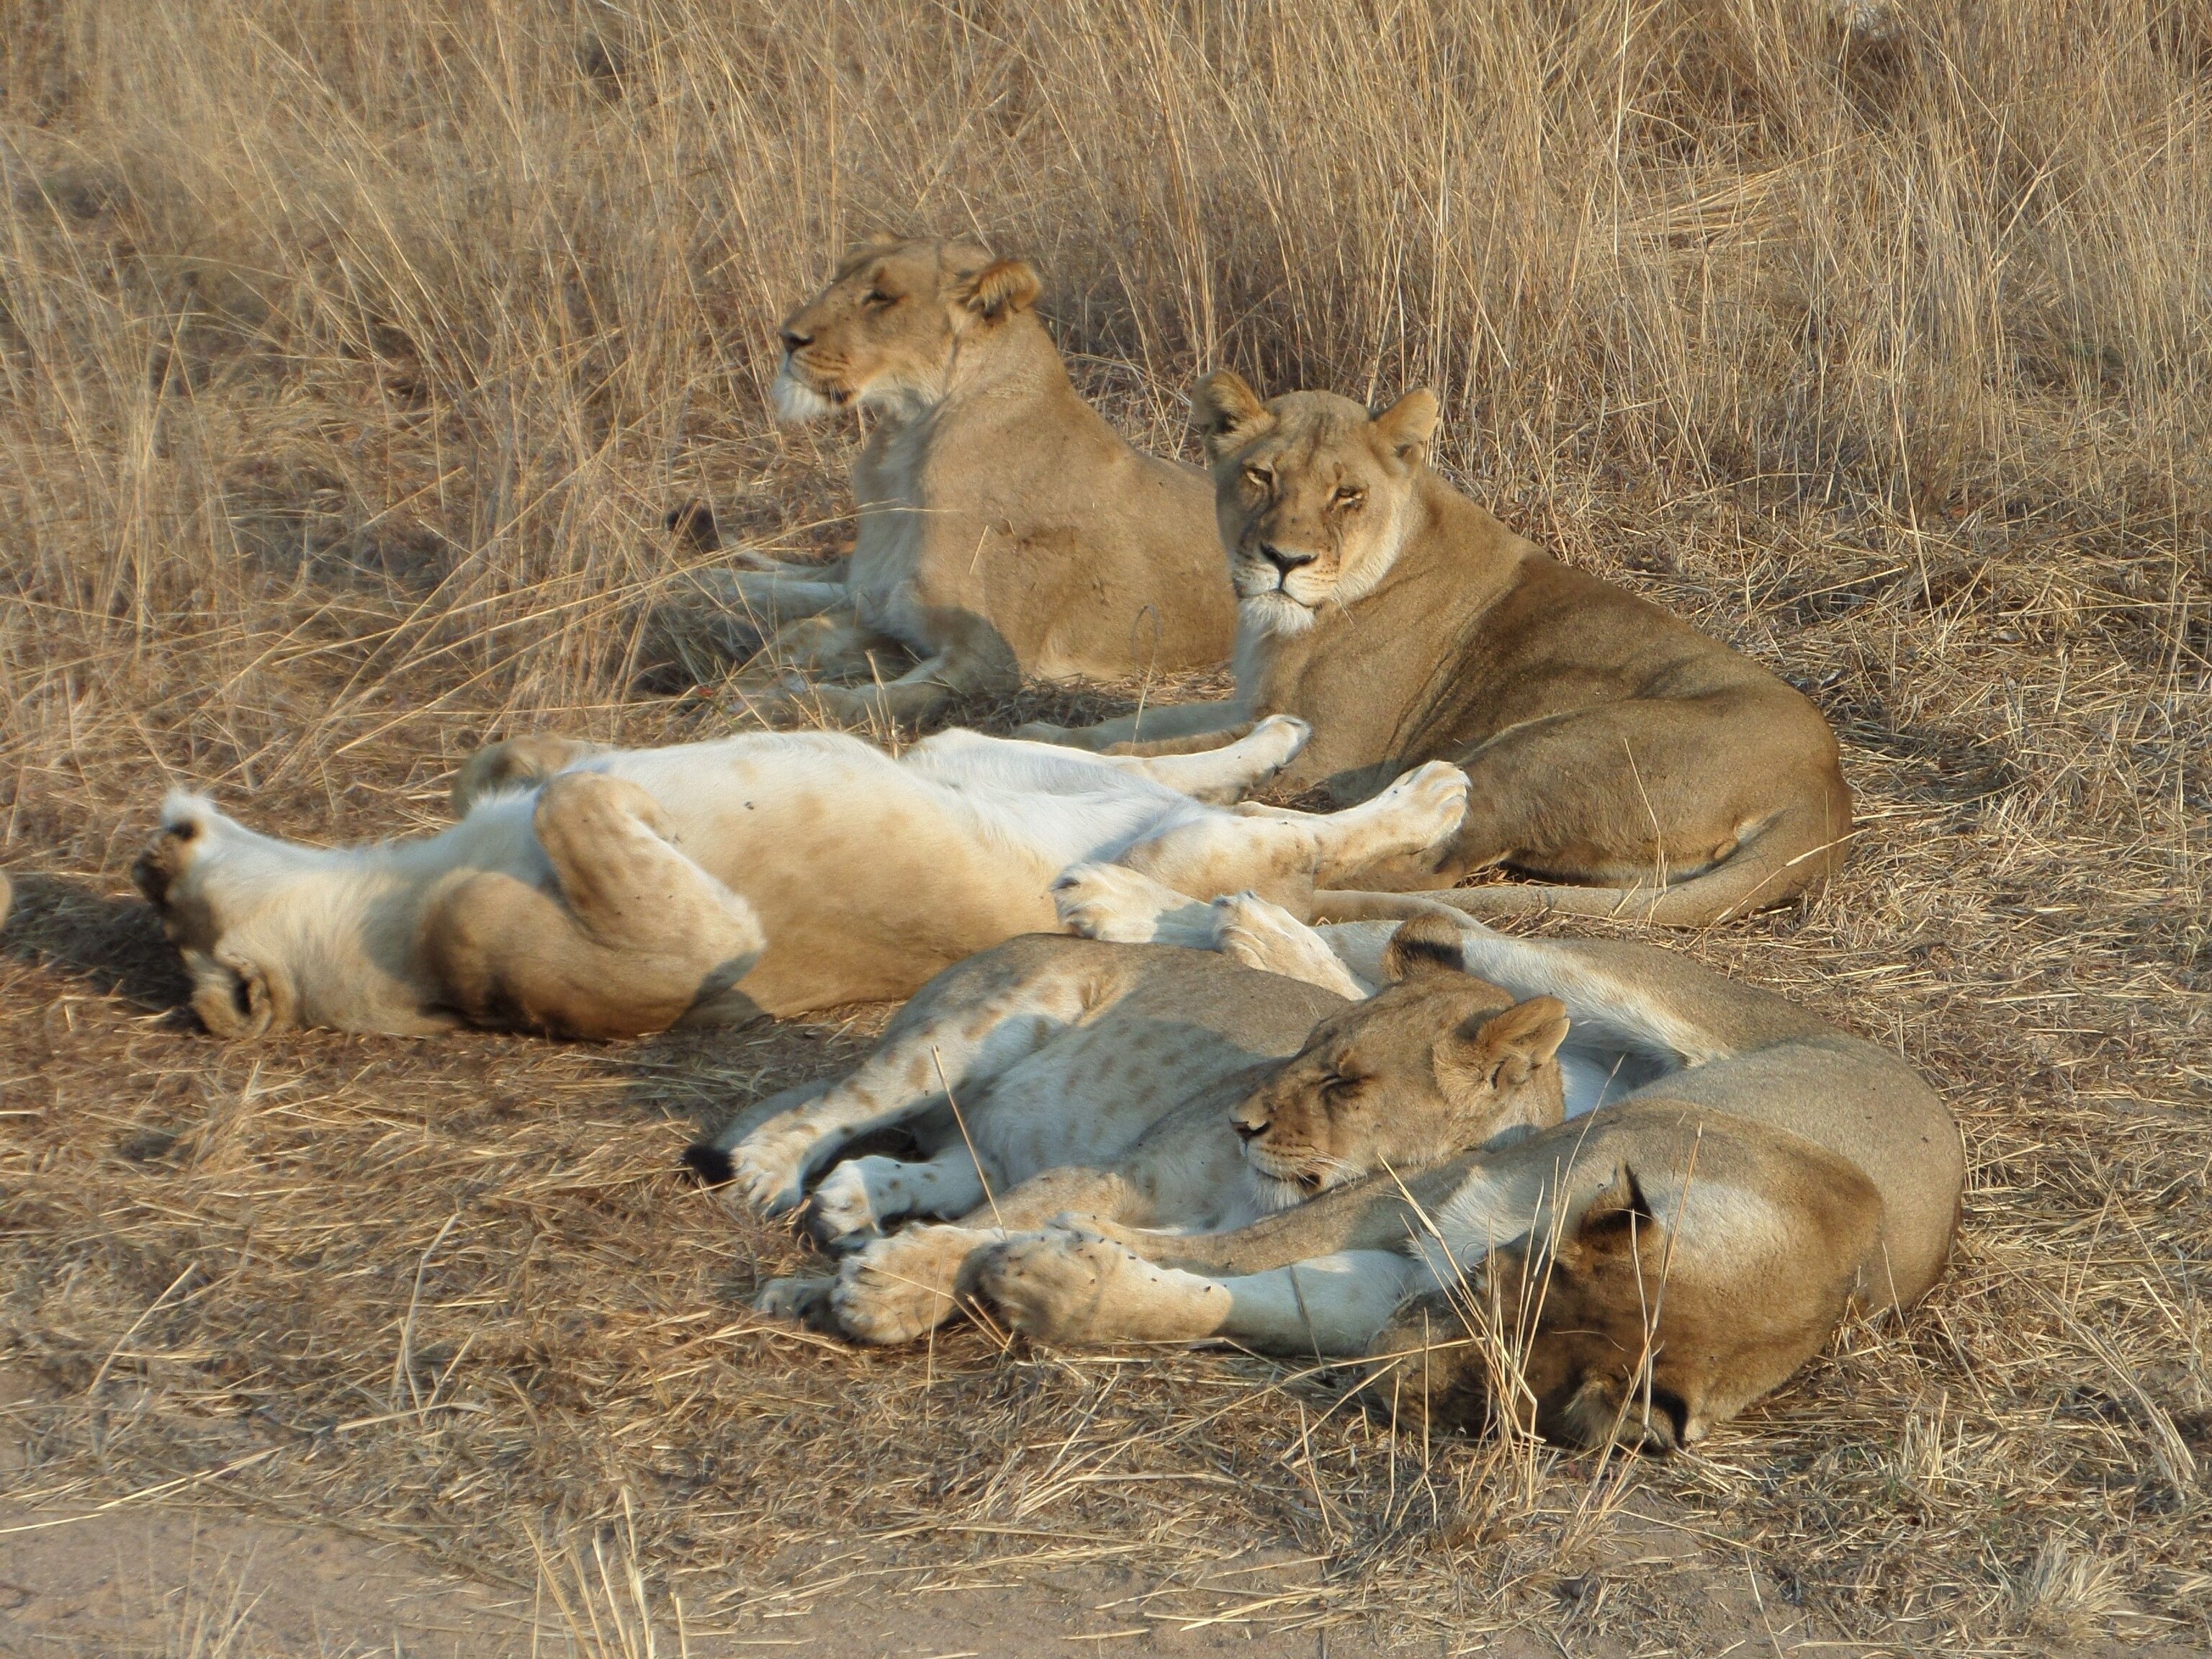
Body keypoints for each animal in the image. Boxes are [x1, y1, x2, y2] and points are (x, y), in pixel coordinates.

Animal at [682, 237, 1235, 725]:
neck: (905, 453)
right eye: (839, 279)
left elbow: (879, 701)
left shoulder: (994, 662)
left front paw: (781, 704)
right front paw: (738, 687)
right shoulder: (879, 611)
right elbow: (796, 635)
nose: (787, 337)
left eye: (881, 297)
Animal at [690, 911, 1573, 1346]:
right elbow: (991, 1227)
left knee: (959, 1165)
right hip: (966, 1033)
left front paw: (875, 1287)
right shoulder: (1124, 1175)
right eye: (1306, 1044)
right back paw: (768, 1173)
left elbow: (992, 1230)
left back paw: (854, 1203)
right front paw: (845, 1288)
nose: (1240, 1123)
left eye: (1346, 1081)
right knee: (834, 1106)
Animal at [970, 901, 1963, 1451]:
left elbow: (1238, 1292)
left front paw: (1069, 1275)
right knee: (1438, 938)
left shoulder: (1398, 1267)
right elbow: (1243, 1245)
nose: (1378, 1383)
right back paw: (1196, 910)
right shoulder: (1444, 1186)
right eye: (1486, 1294)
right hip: (1609, 982)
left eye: (1496, 1396)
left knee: (1437, 992)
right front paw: (1071, 1236)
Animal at [1023, 372, 1853, 925]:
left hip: (1544, 746)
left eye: (1346, 495)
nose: (1284, 560)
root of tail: (1826, 793)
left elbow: (1149, 750)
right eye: (1260, 475)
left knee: (1432, 866)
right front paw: (1042, 728)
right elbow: (1142, 726)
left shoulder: (1335, 750)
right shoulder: (1252, 699)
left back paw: (1259, 827)